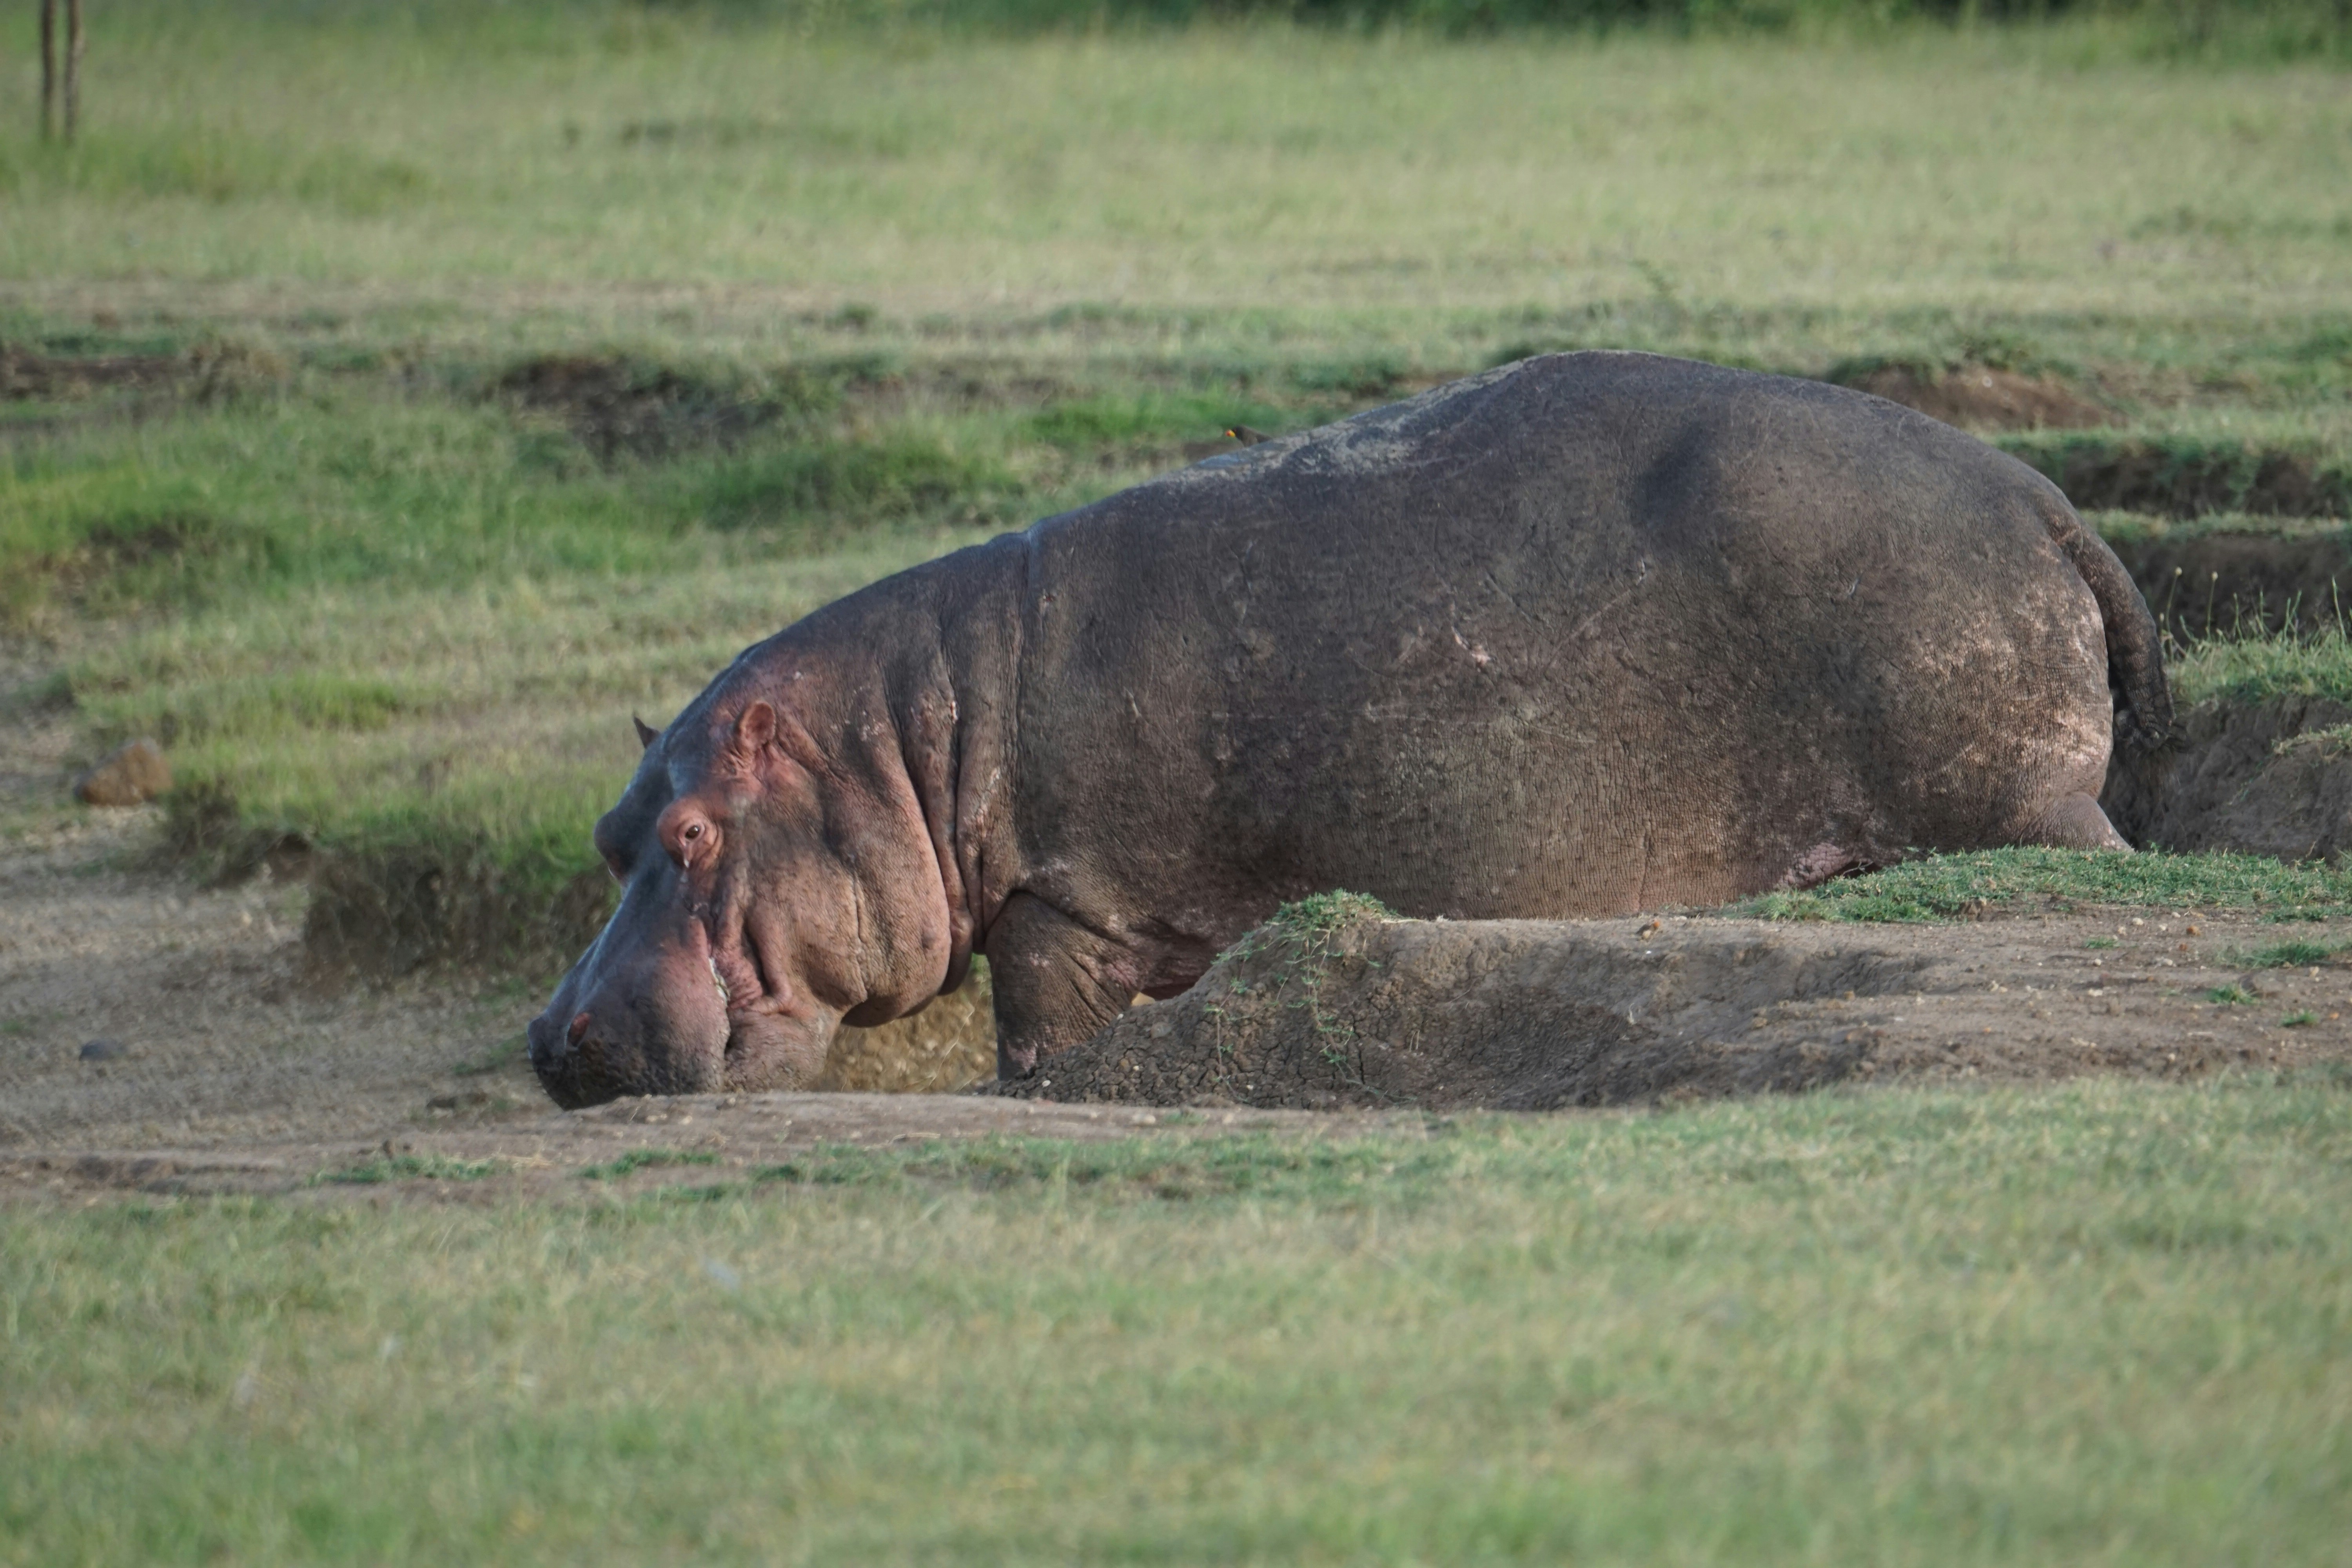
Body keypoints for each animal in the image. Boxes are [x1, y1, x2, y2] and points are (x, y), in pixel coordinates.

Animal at [527, 351, 2168, 1107]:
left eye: (691, 832)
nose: (554, 1032)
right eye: (609, 831)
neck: (909, 738)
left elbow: (1040, 1041)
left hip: (2010, 789)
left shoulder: (1066, 902)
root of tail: (2043, 497)